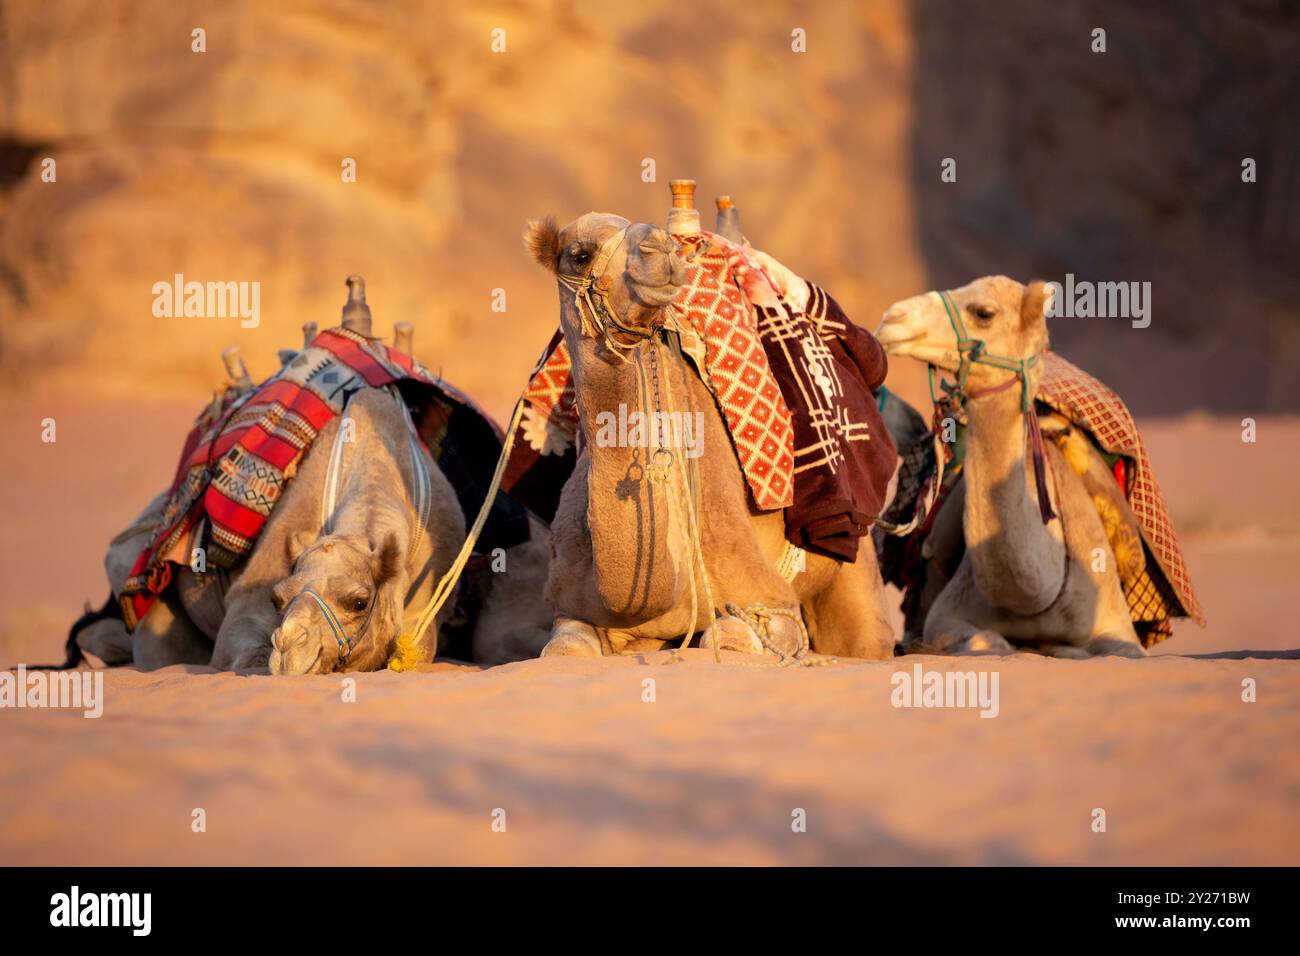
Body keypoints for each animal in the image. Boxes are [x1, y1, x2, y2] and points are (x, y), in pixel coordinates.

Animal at [522, 212, 894, 660]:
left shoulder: (771, 601)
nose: (660, 248)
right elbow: (563, 649)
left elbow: (731, 636)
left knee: (863, 639)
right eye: (579, 254)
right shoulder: (571, 607)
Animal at [875, 276, 1145, 657]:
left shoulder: (1116, 622)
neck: (1038, 595)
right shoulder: (945, 615)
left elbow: (1120, 650)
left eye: (984, 312)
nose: (892, 318)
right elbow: (990, 641)